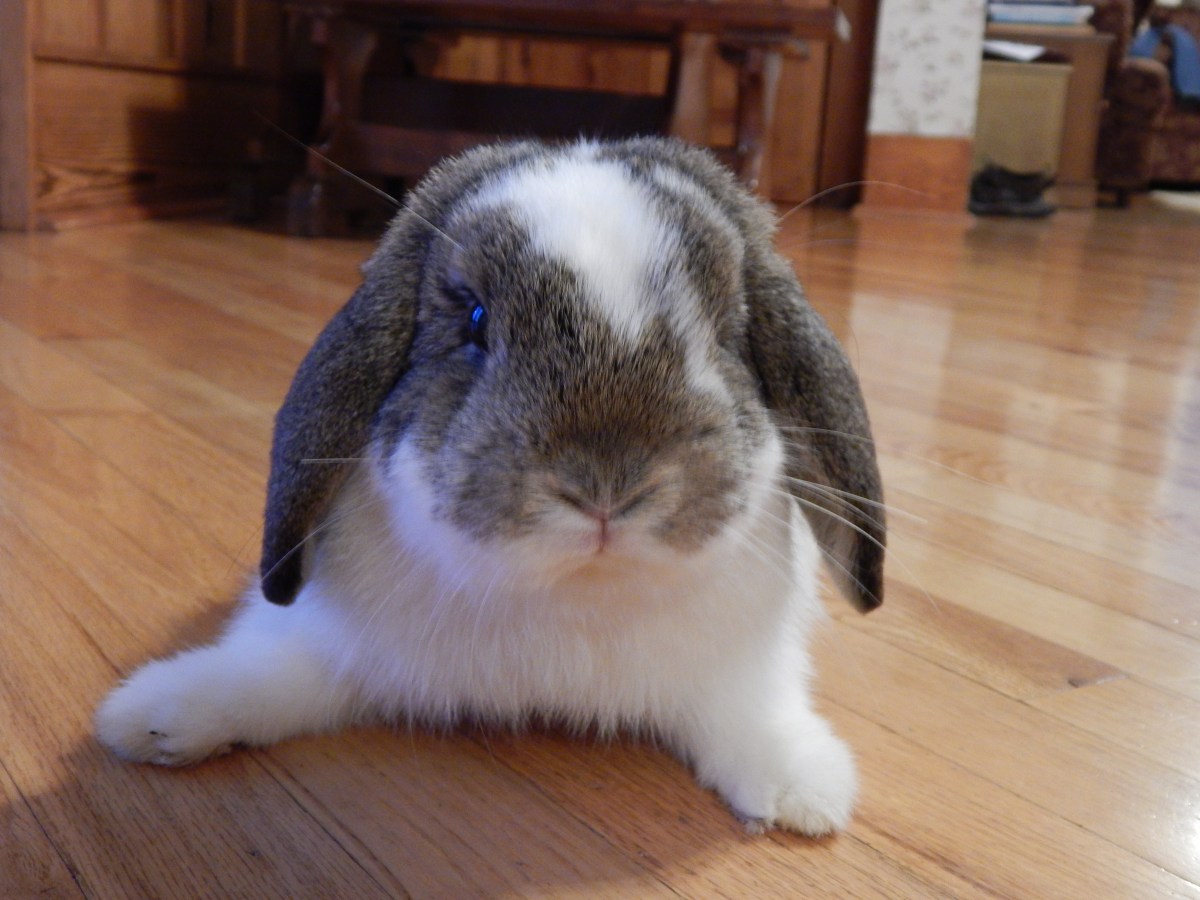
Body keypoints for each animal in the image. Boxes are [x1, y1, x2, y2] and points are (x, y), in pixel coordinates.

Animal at [95, 137, 885, 836]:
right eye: (475, 318)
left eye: (725, 329)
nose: (606, 484)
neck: (572, 598)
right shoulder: (330, 642)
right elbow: (264, 673)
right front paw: (153, 717)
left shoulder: (738, 675)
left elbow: (751, 711)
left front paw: (804, 790)